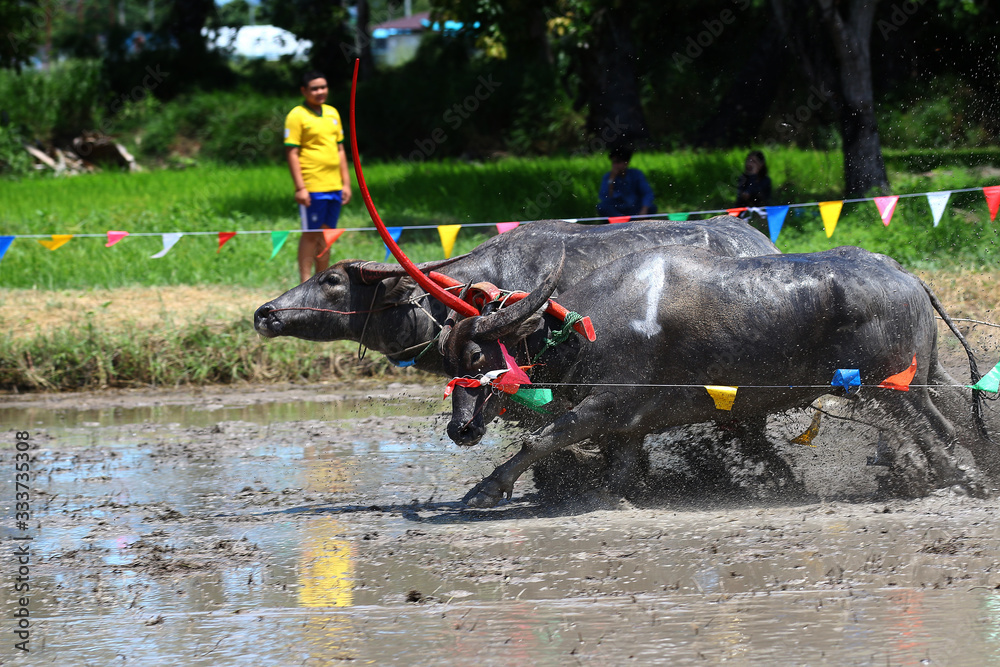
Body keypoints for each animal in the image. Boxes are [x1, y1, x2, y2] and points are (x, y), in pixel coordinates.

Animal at [438, 244, 992, 507]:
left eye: (475, 359)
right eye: (449, 363)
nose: (460, 429)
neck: (584, 327)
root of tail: (907, 278)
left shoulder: (603, 405)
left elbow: (541, 440)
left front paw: (483, 491)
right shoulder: (630, 424)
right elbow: (620, 465)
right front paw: (607, 495)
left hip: (892, 388)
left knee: (936, 431)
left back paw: (955, 481)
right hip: (928, 375)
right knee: (960, 421)